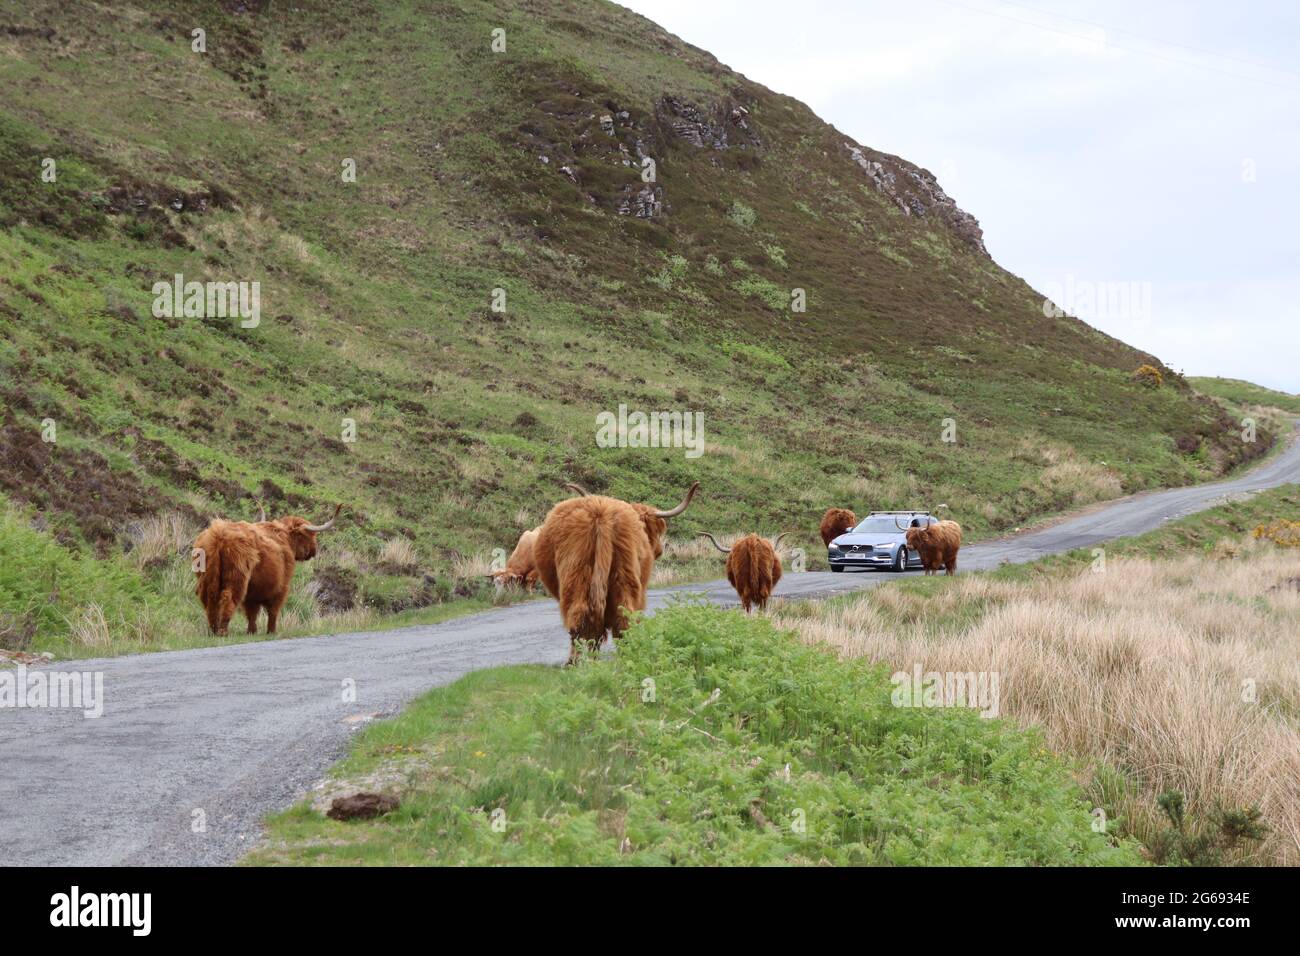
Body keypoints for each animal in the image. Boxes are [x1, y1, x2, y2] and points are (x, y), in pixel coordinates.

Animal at [193, 504, 342, 635]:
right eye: (310, 536)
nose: (314, 550)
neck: (285, 538)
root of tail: (219, 535)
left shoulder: (253, 591)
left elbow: (252, 612)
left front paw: (251, 631)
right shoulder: (282, 586)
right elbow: (273, 610)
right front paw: (271, 631)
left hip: (208, 577)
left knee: (209, 598)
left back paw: (213, 630)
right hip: (236, 577)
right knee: (228, 598)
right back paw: (223, 631)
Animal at [533, 482, 698, 664]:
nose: (660, 550)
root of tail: (601, 514)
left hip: (582, 574)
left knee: (586, 619)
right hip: (618, 577)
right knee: (614, 621)